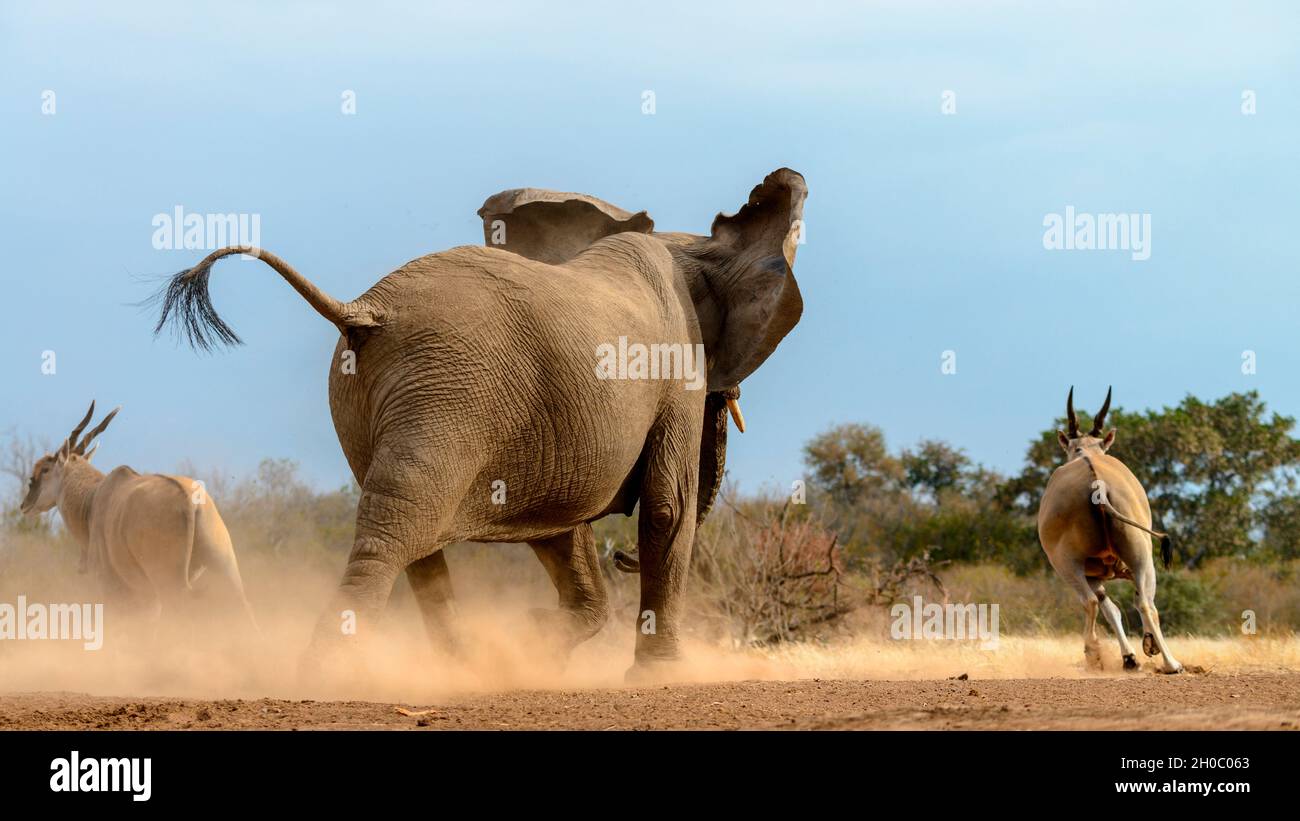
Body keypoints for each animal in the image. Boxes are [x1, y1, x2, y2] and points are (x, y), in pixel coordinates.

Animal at [19, 402, 256, 637]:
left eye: (45, 469)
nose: (24, 503)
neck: (93, 498)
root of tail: (191, 501)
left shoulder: (114, 589)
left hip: (170, 583)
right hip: (225, 569)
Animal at [1037, 387, 1183, 673]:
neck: (1086, 452)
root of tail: (1096, 485)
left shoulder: (1093, 575)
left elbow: (1110, 607)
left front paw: (1133, 654)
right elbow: (1127, 605)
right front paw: (1137, 653)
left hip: (1069, 565)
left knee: (1094, 602)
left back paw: (1094, 653)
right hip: (1138, 558)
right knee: (1143, 604)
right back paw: (1171, 663)